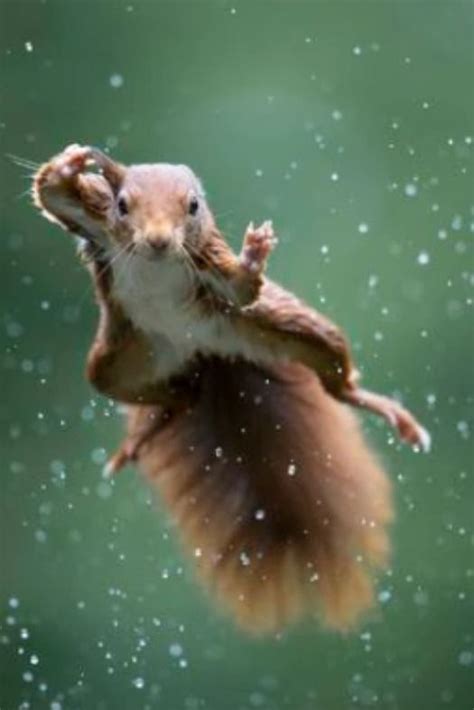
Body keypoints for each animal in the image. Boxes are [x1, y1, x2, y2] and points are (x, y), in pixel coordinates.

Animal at [32, 144, 430, 634]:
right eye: (122, 205)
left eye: (193, 206)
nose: (158, 241)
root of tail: (204, 354)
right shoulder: (96, 220)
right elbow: (50, 193)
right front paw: (69, 164)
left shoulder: (210, 262)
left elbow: (241, 287)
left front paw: (255, 252)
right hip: (117, 362)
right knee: (175, 395)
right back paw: (142, 435)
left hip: (286, 328)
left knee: (335, 381)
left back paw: (392, 413)